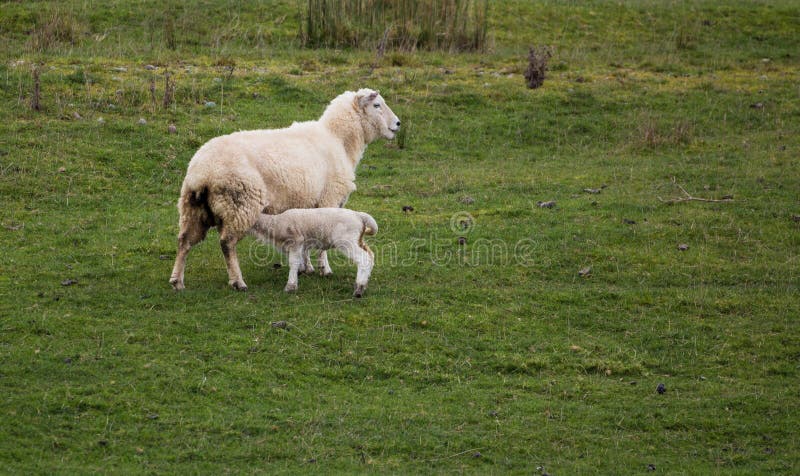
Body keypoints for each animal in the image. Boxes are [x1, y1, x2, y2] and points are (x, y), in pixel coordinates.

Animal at [248, 208, 378, 297]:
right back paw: (364, 283)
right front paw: (303, 271)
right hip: (358, 240)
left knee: (364, 259)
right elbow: (302, 258)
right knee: (371, 255)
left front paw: (290, 286)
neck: (275, 223)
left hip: (347, 240)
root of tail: (359, 215)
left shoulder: (296, 240)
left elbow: (293, 262)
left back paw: (359, 288)